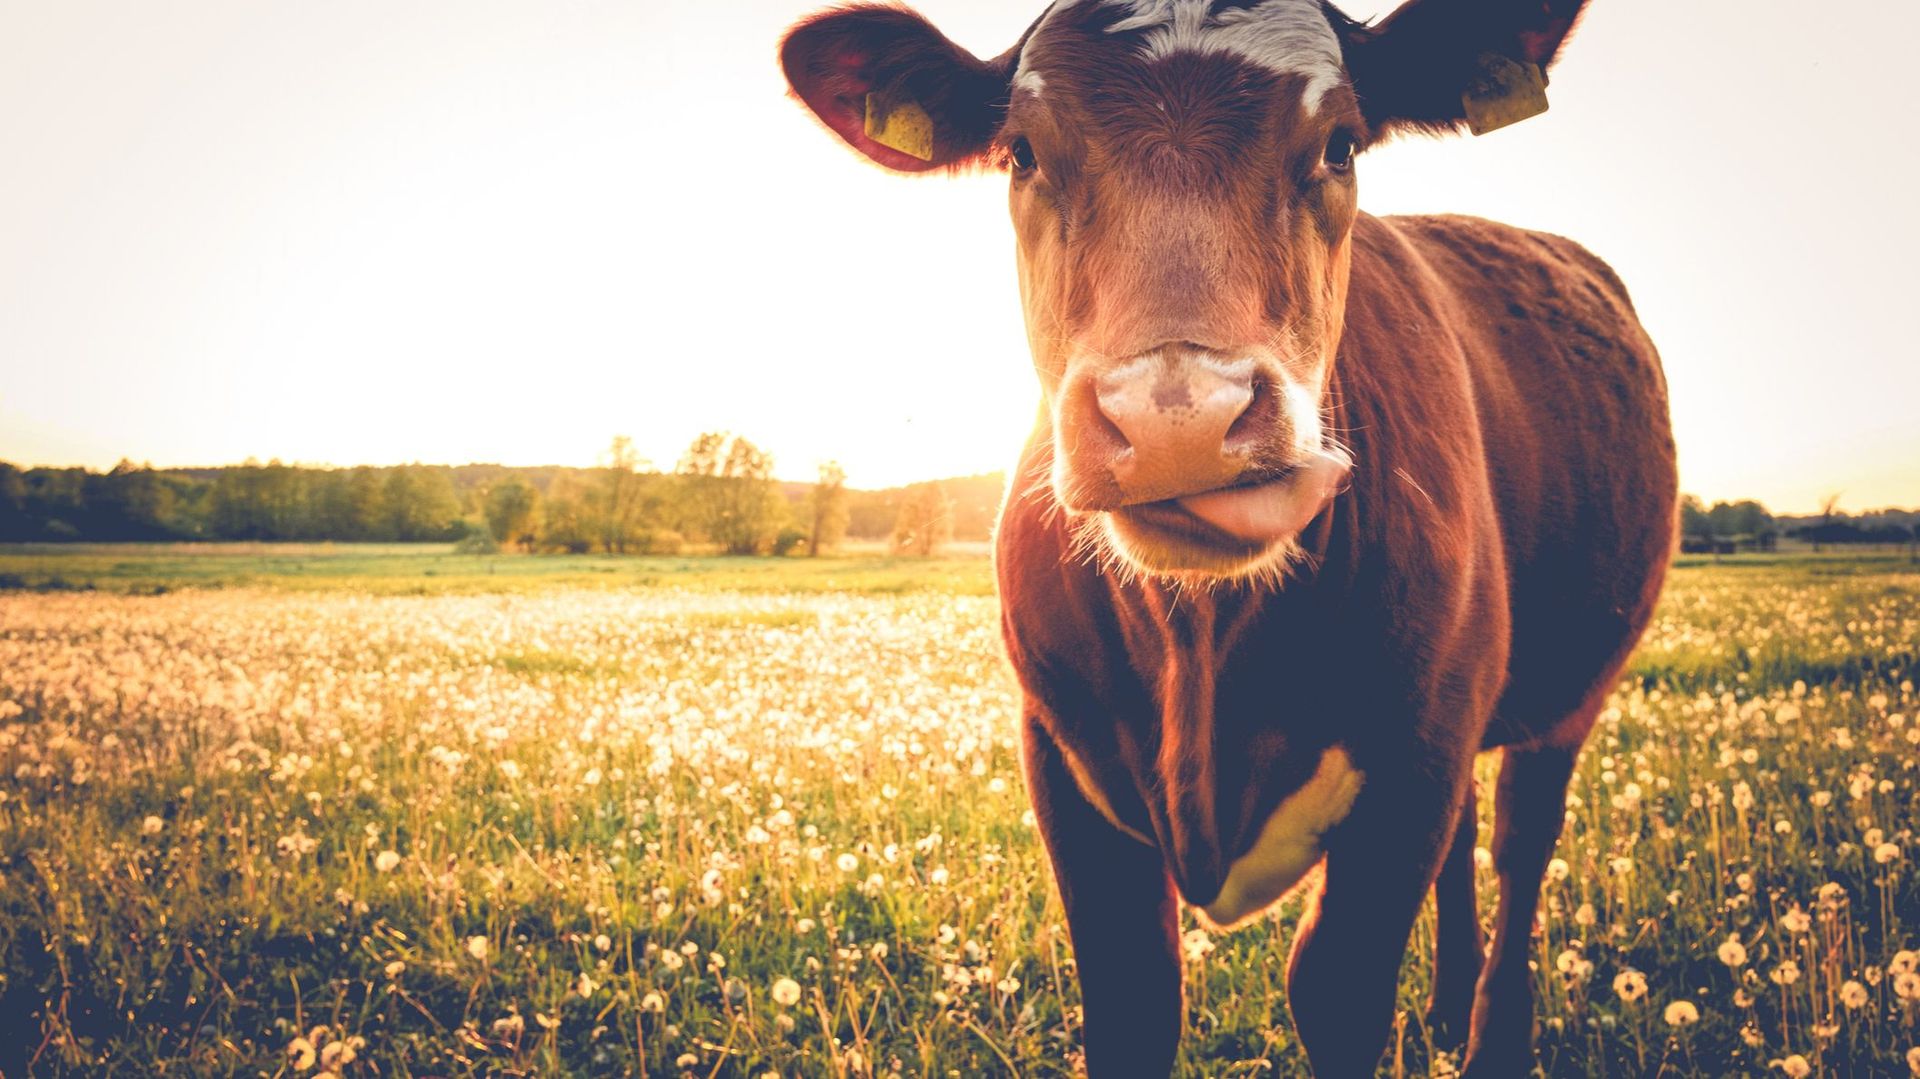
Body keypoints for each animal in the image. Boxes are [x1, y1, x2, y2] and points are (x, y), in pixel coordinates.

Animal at [780, 0, 1677, 1074]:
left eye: (1340, 144)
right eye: (1022, 153)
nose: (1178, 418)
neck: (1202, 646)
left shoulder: (1412, 762)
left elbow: (1333, 984)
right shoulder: (1061, 758)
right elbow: (1135, 998)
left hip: (1567, 694)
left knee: (1518, 841)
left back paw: (1489, 1031)